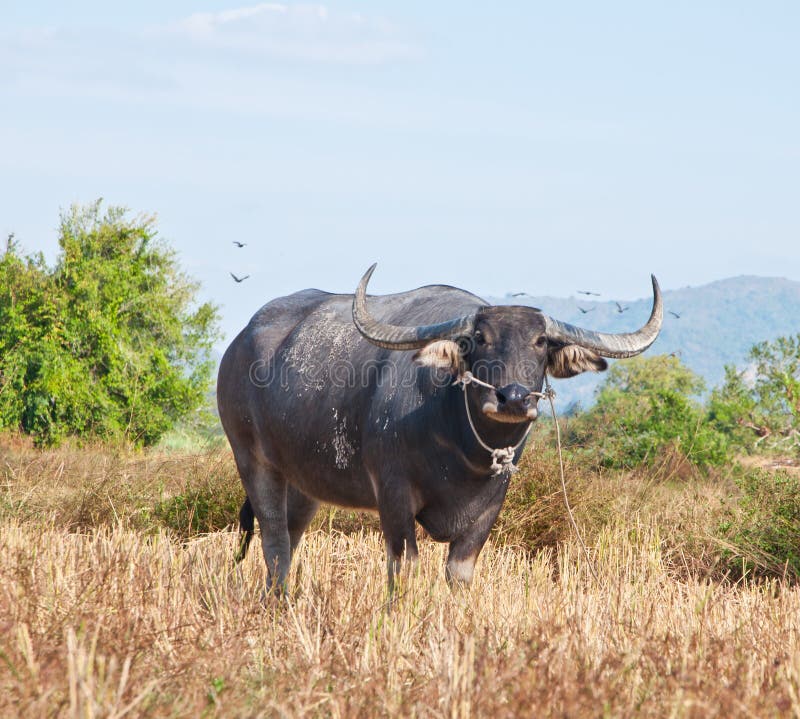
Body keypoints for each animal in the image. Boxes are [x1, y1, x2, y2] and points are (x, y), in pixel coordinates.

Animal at [217, 265, 662, 595]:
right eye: (479, 338)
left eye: (539, 341)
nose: (513, 398)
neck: (460, 448)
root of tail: (237, 347)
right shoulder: (393, 494)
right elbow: (404, 569)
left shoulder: (489, 506)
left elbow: (459, 574)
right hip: (251, 459)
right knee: (274, 539)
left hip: (305, 481)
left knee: (290, 537)